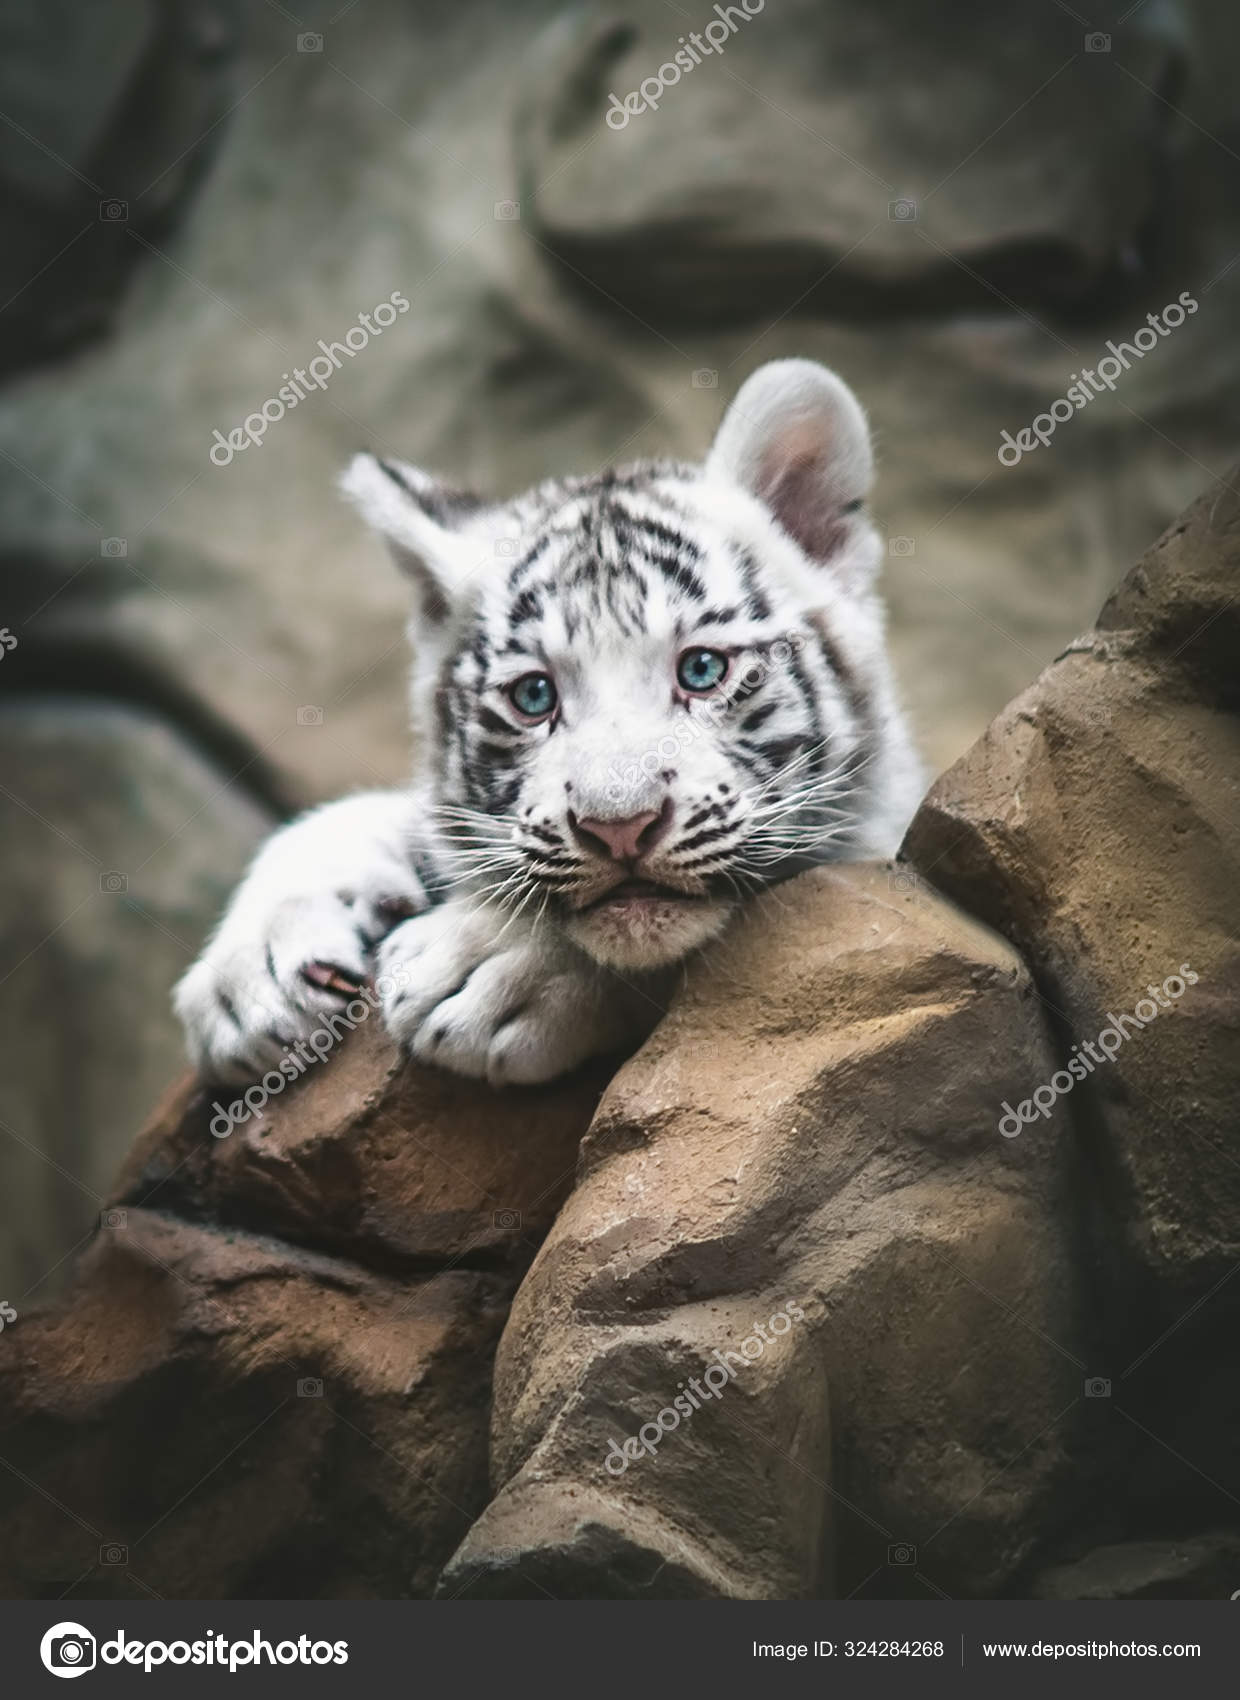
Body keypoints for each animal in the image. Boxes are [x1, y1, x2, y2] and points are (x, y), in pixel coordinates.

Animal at [174, 360, 922, 1088]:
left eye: (703, 669)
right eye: (534, 695)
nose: (619, 829)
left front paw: (483, 967)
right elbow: (358, 817)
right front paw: (254, 975)